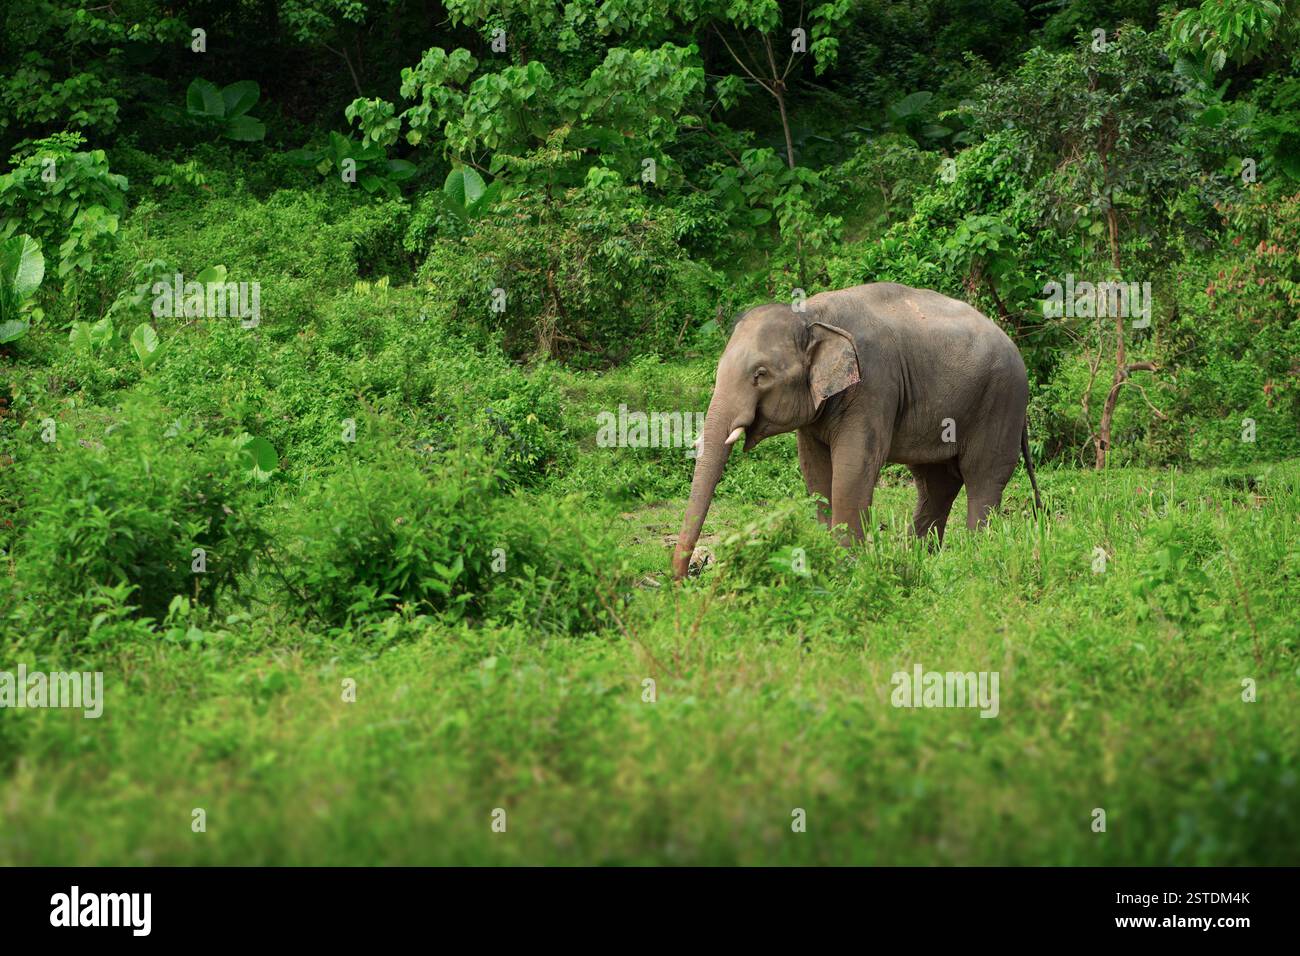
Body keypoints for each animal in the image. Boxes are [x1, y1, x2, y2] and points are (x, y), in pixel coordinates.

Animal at [671, 282, 1042, 580]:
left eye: (760, 375)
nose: (686, 577)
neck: (812, 314)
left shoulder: (874, 384)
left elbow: (852, 468)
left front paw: (845, 567)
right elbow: (815, 472)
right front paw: (823, 558)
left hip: (1001, 400)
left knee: (983, 477)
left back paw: (975, 557)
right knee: (936, 483)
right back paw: (919, 560)